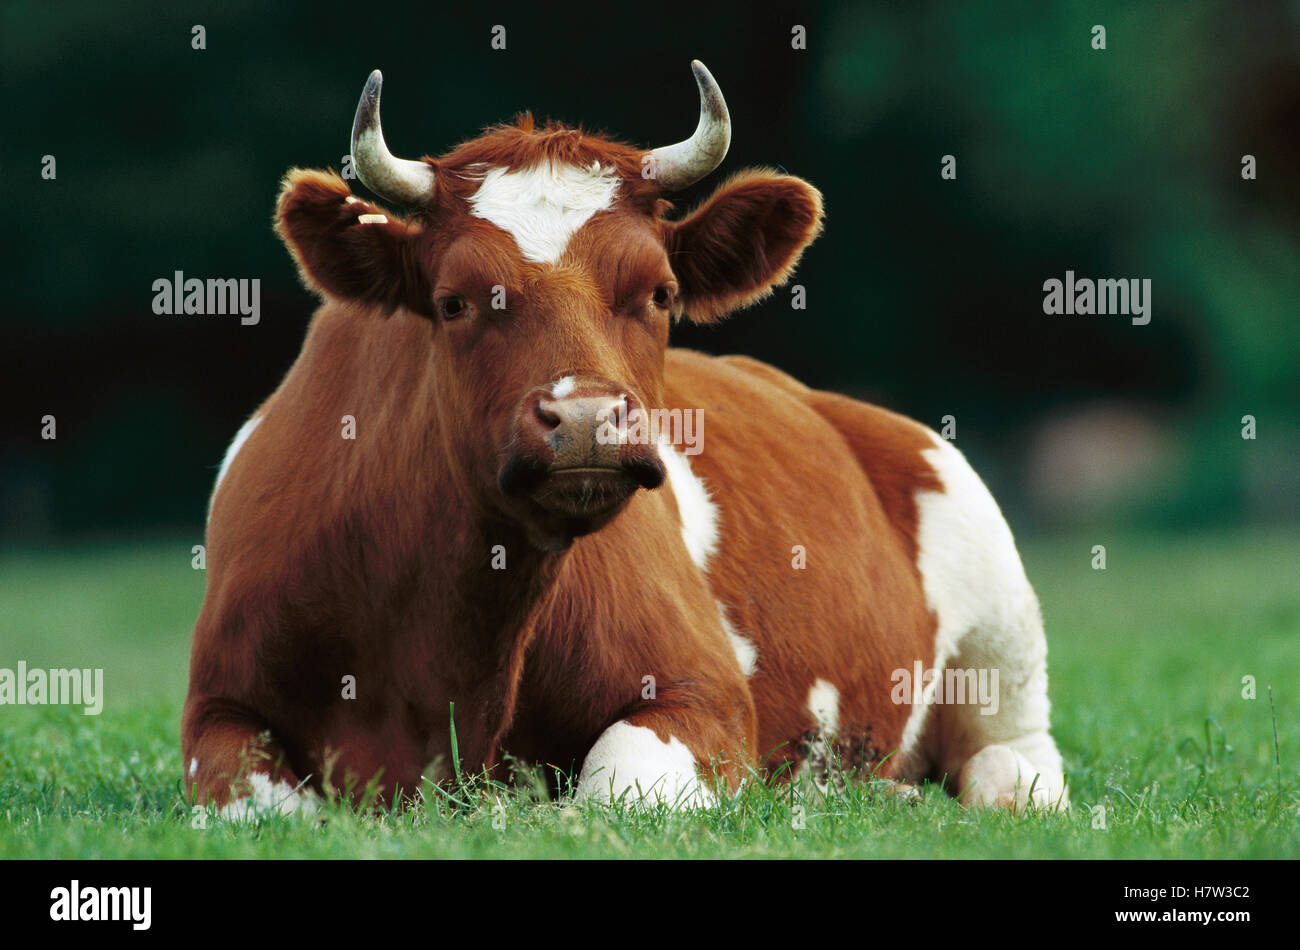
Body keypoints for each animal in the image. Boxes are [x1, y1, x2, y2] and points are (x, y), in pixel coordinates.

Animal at [183, 62, 1069, 818]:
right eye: (454, 301)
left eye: (660, 292)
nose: (584, 421)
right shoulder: (216, 709)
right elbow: (260, 803)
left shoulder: (704, 691)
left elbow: (611, 790)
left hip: (1001, 630)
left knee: (1016, 759)